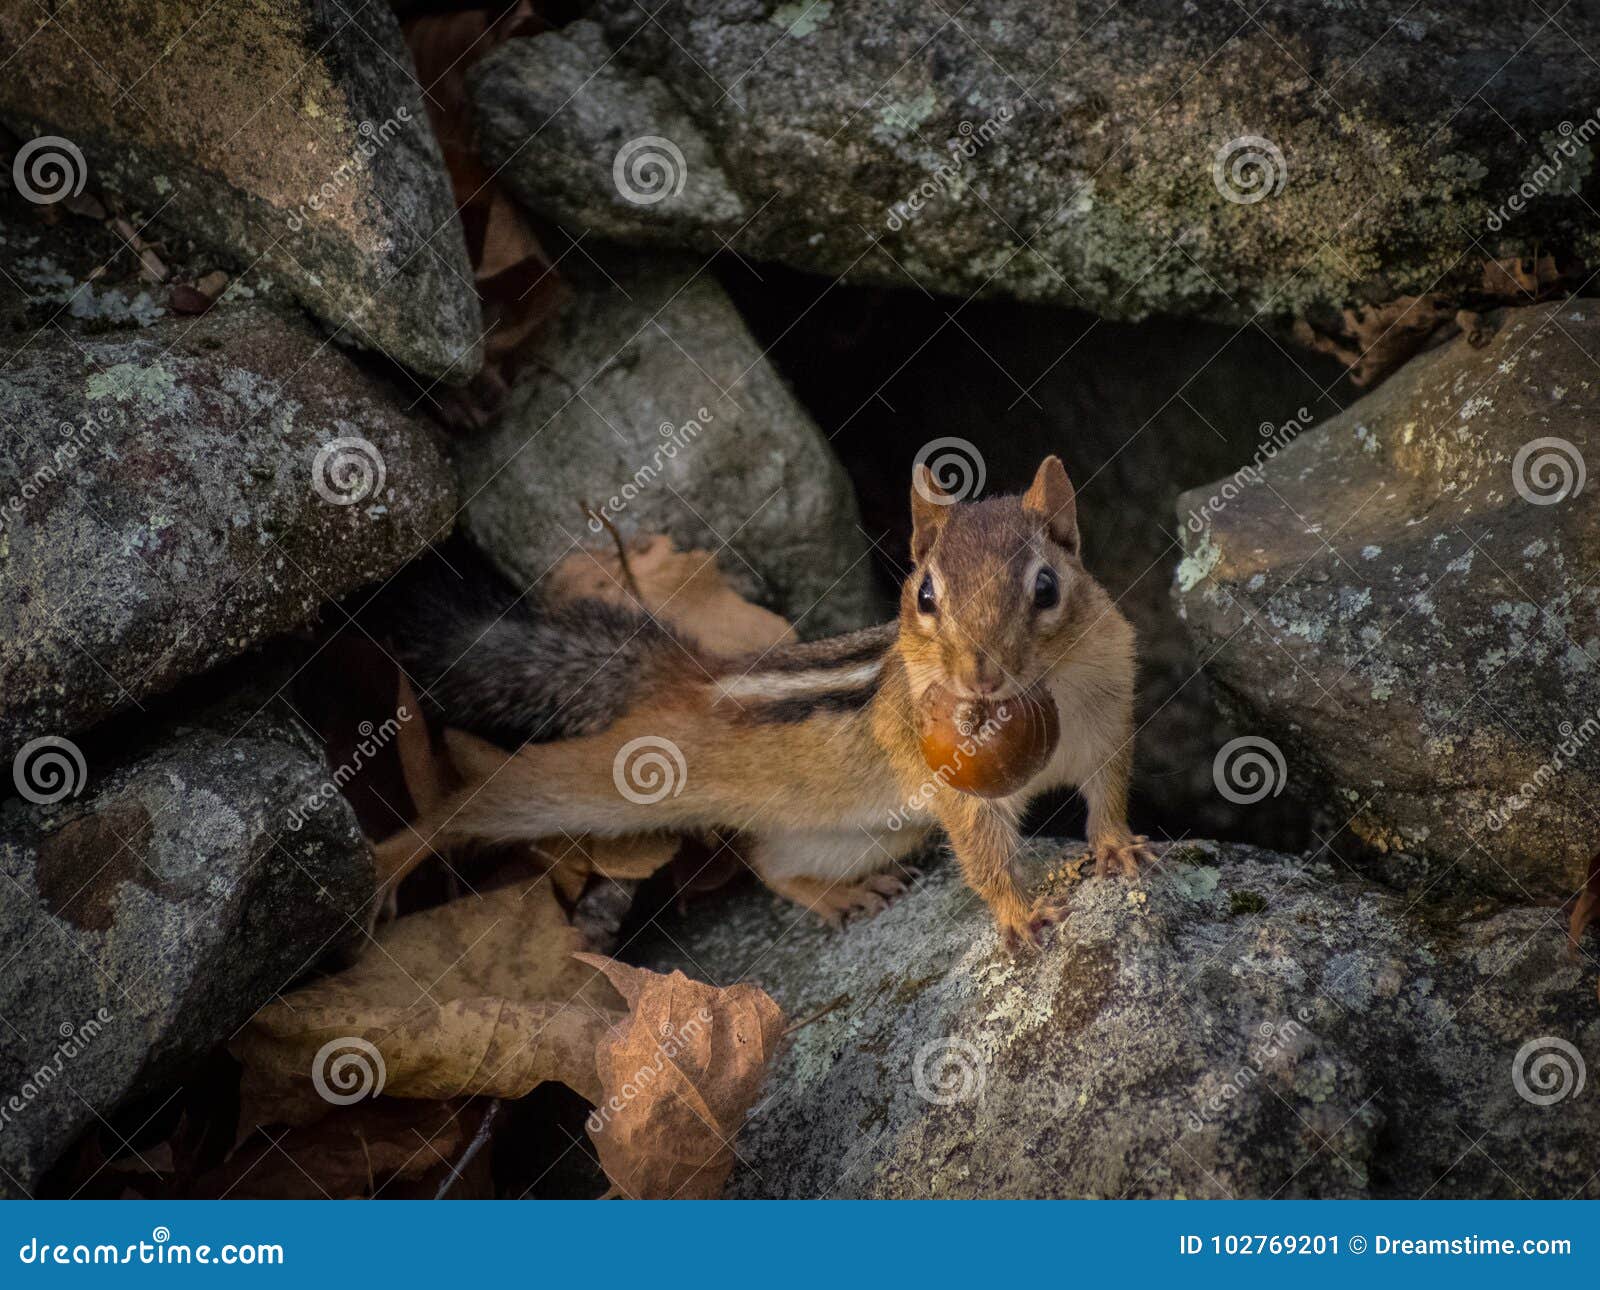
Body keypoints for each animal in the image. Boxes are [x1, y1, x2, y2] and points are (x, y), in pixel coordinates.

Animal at [377, 455, 1152, 950]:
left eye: (1047, 587)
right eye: (926, 594)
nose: (979, 677)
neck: (1049, 697)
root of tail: (697, 679)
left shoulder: (1109, 720)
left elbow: (1108, 792)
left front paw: (1119, 846)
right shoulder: (961, 791)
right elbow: (986, 855)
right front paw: (1020, 915)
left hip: (861, 833)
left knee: (768, 862)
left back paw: (842, 894)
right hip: (611, 780)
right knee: (497, 797)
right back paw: (395, 855)